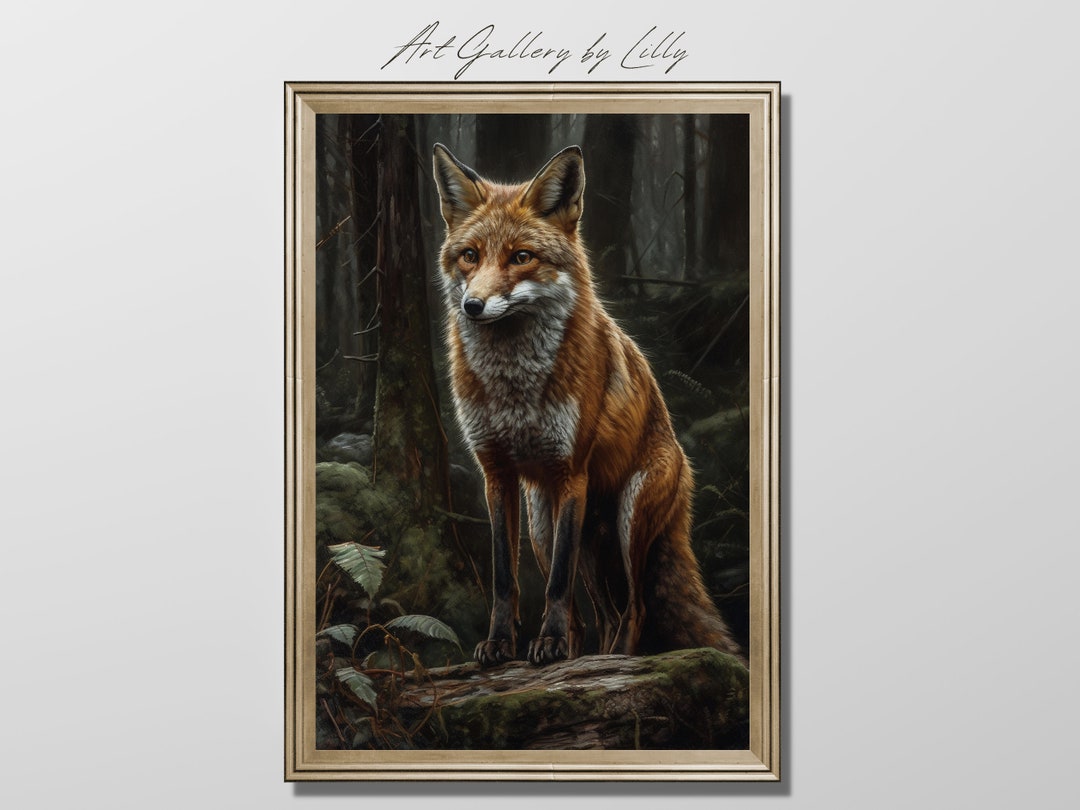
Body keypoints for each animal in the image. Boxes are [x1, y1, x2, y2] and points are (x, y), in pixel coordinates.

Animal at [432, 143, 742, 667]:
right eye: (470, 257)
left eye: (521, 257)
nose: (473, 306)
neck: (514, 388)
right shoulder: (497, 473)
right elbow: (504, 578)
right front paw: (501, 644)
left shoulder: (569, 472)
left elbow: (557, 584)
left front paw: (550, 642)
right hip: (548, 525)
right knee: (601, 613)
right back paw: (575, 652)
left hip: (625, 521)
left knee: (634, 609)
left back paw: (616, 661)